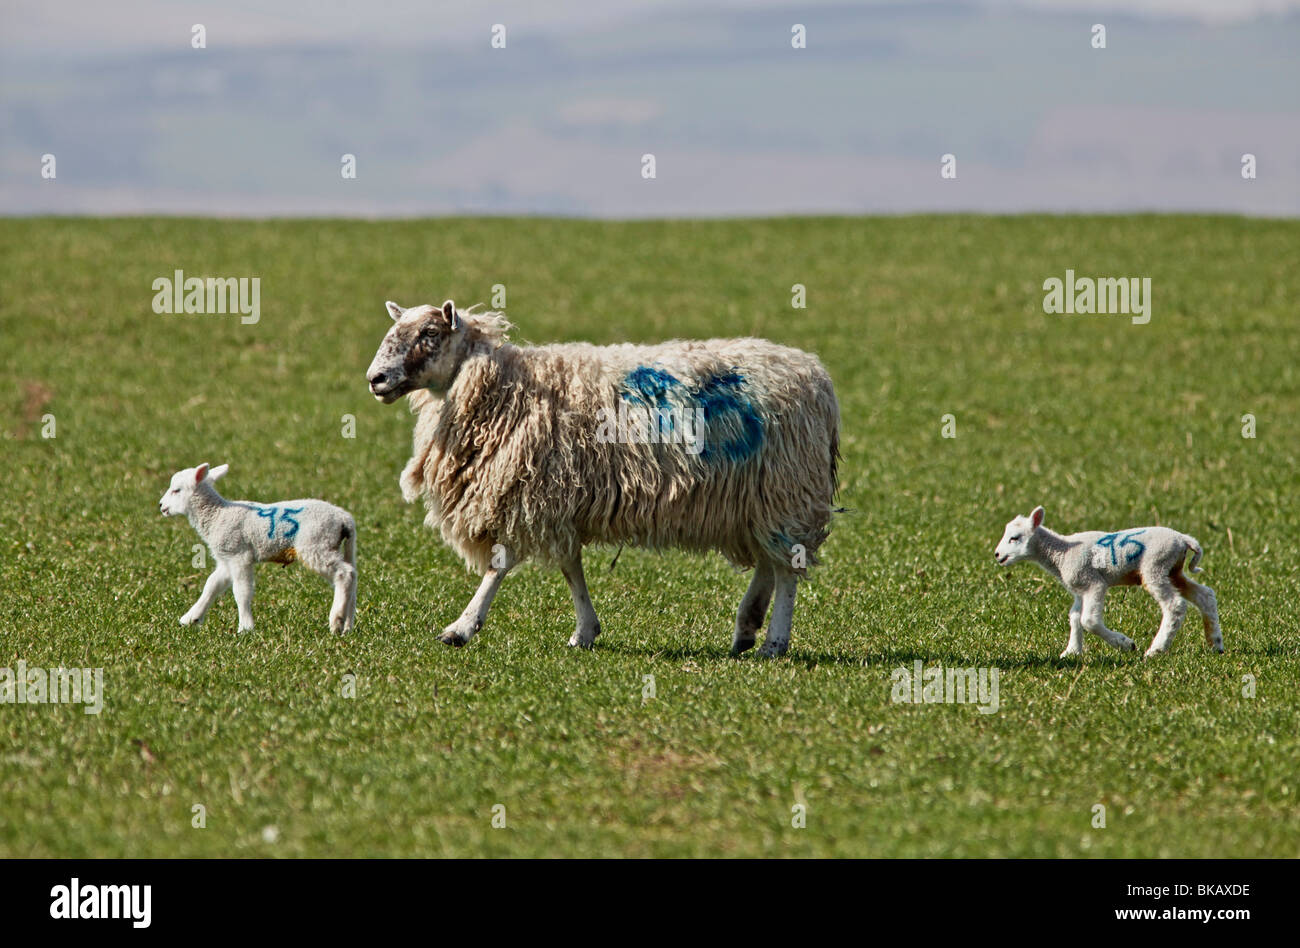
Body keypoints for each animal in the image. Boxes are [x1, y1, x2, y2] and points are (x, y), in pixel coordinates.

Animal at [159, 463, 357, 634]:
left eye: (176, 490)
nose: (161, 505)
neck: (217, 514)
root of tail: (344, 517)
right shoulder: (226, 558)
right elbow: (212, 585)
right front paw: (191, 618)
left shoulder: (239, 555)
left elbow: (241, 591)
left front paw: (245, 628)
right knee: (353, 577)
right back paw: (347, 625)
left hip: (315, 544)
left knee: (344, 573)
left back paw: (336, 621)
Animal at [365, 299, 840, 657]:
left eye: (429, 333)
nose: (375, 379)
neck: (502, 388)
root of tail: (814, 373)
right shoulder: (555, 499)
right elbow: (570, 568)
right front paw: (585, 632)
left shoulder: (527, 493)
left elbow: (501, 563)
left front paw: (461, 627)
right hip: (760, 499)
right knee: (768, 560)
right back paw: (746, 628)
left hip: (786, 487)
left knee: (787, 569)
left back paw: (774, 642)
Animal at [994, 505, 1223, 659]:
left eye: (1015, 538)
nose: (997, 555)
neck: (1062, 552)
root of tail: (1184, 539)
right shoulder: (1079, 589)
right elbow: (1074, 617)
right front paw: (1071, 652)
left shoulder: (1093, 583)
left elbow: (1089, 620)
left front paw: (1125, 644)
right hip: (1174, 570)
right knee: (1205, 595)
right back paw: (1216, 644)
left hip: (1155, 566)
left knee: (1175, 605)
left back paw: (1155, 650)